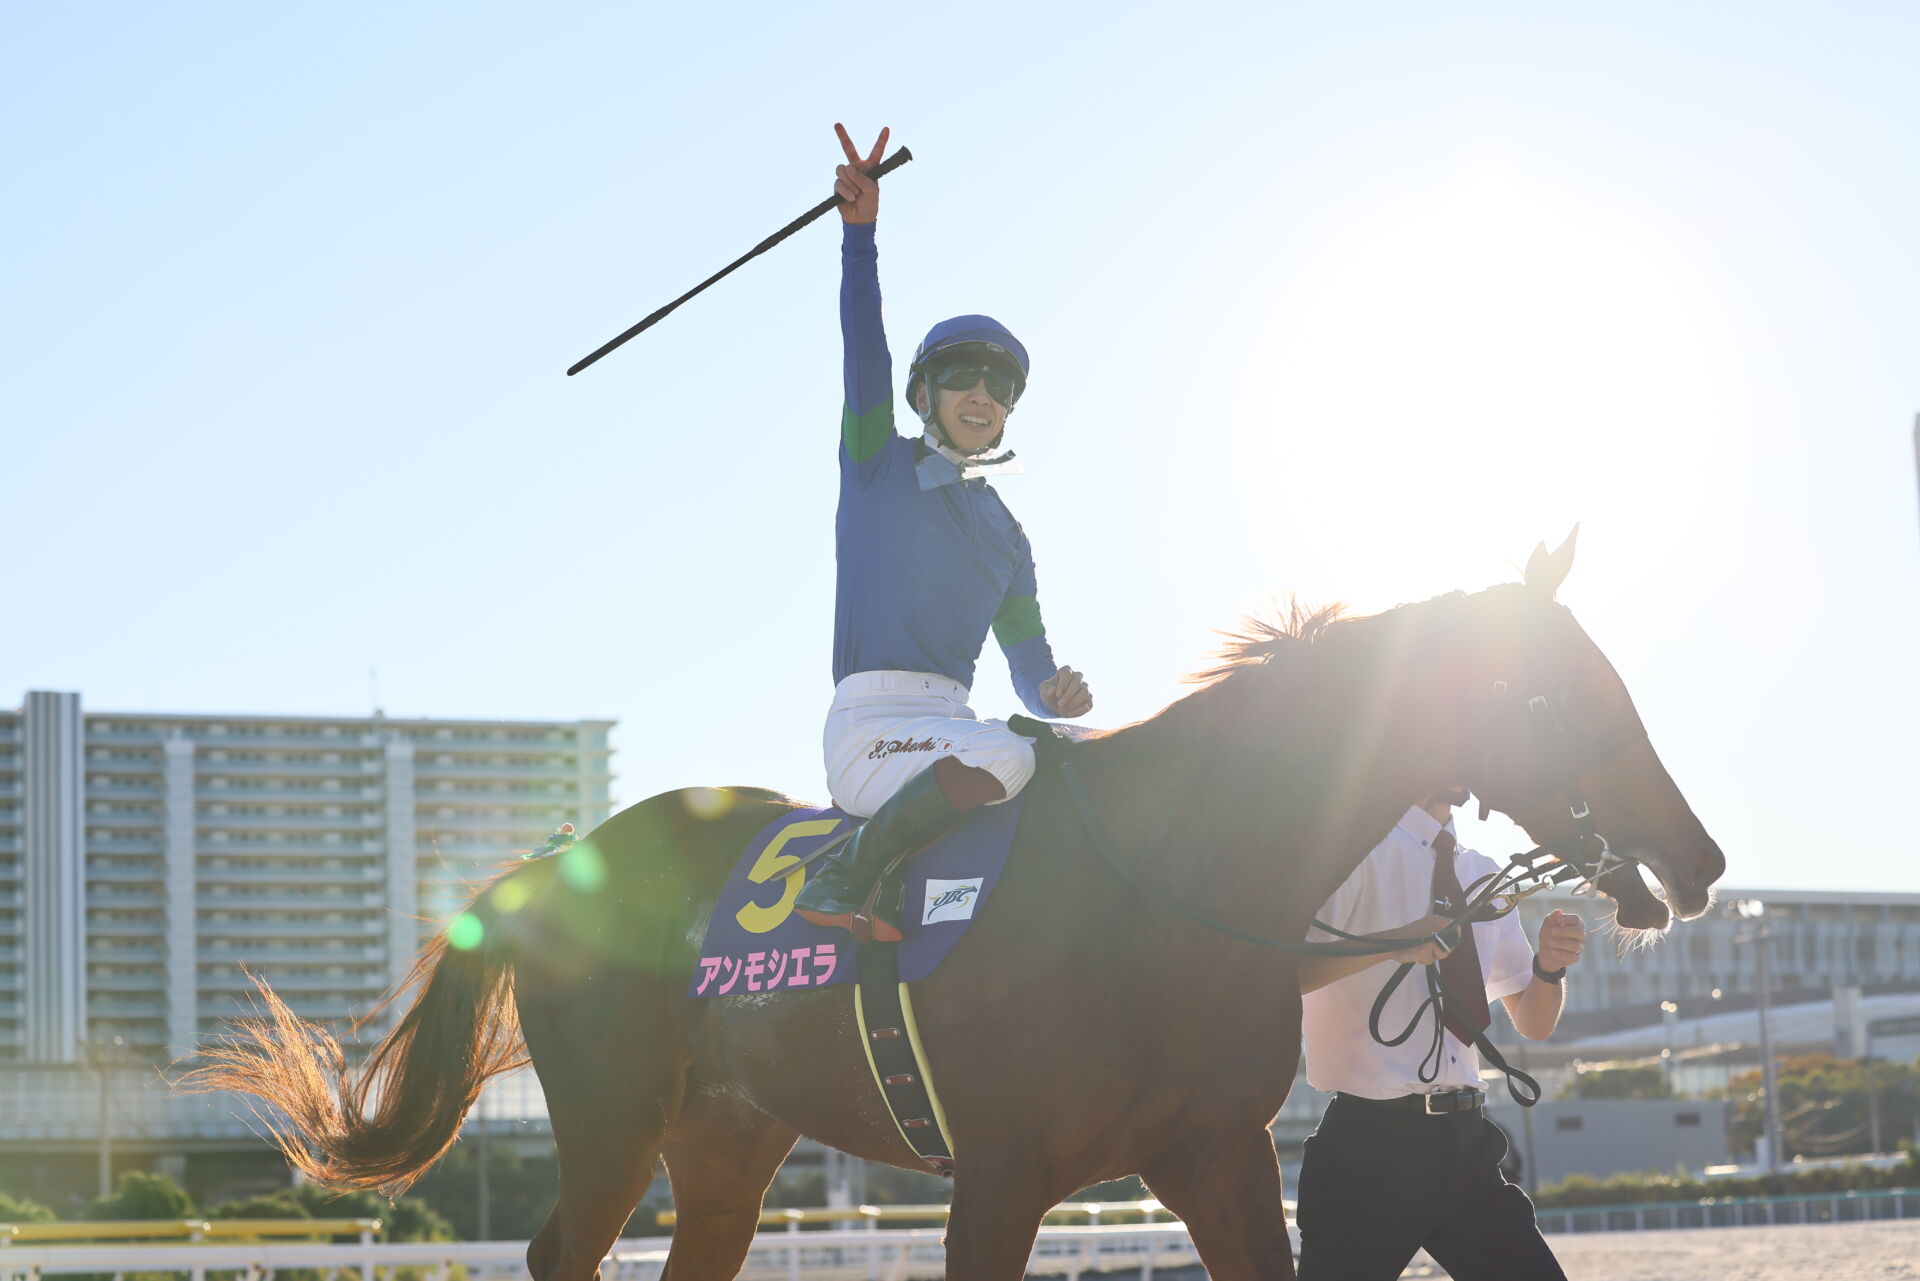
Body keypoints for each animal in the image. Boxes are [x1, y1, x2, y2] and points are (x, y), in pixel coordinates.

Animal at [186, 534, 1724, 1281]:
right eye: (1557, 694)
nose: (1700, 856)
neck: (1168, 883)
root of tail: (542, 871)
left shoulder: (1216, 1160)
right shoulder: (995, 1176)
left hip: (729, 1139)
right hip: (614, 1113)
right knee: (565, 1249)